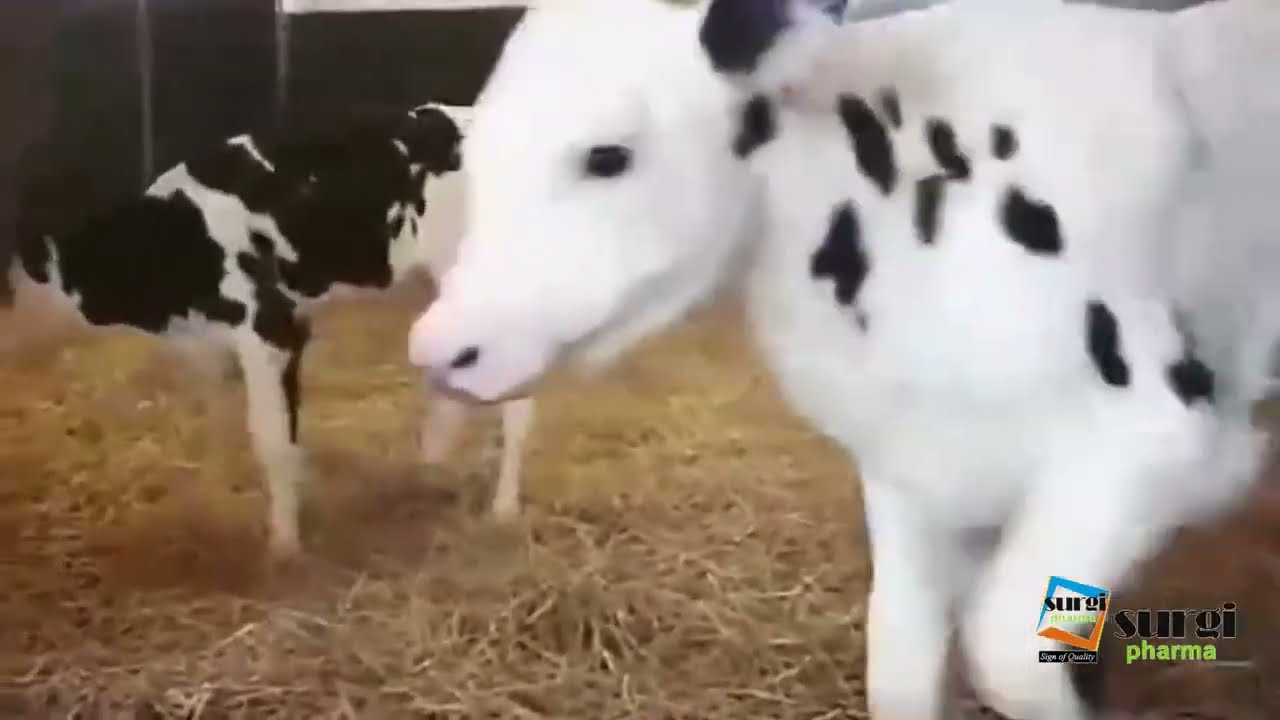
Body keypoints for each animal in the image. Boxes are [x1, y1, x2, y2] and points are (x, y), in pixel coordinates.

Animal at [3, 103, 535, 559]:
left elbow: (271, 439)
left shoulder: (270, 328)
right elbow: (224, 427)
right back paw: (429, 472)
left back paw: (503, 510)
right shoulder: (223, 347)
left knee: (516, 402)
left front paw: (284, 544)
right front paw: (214, 509)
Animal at [405, 0, 1280, 717]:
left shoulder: (1157, 442)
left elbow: (1007, 649)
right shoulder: (913, 470)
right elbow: (900, 665)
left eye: (608, 154)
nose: (439, 346)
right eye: (475, 152)